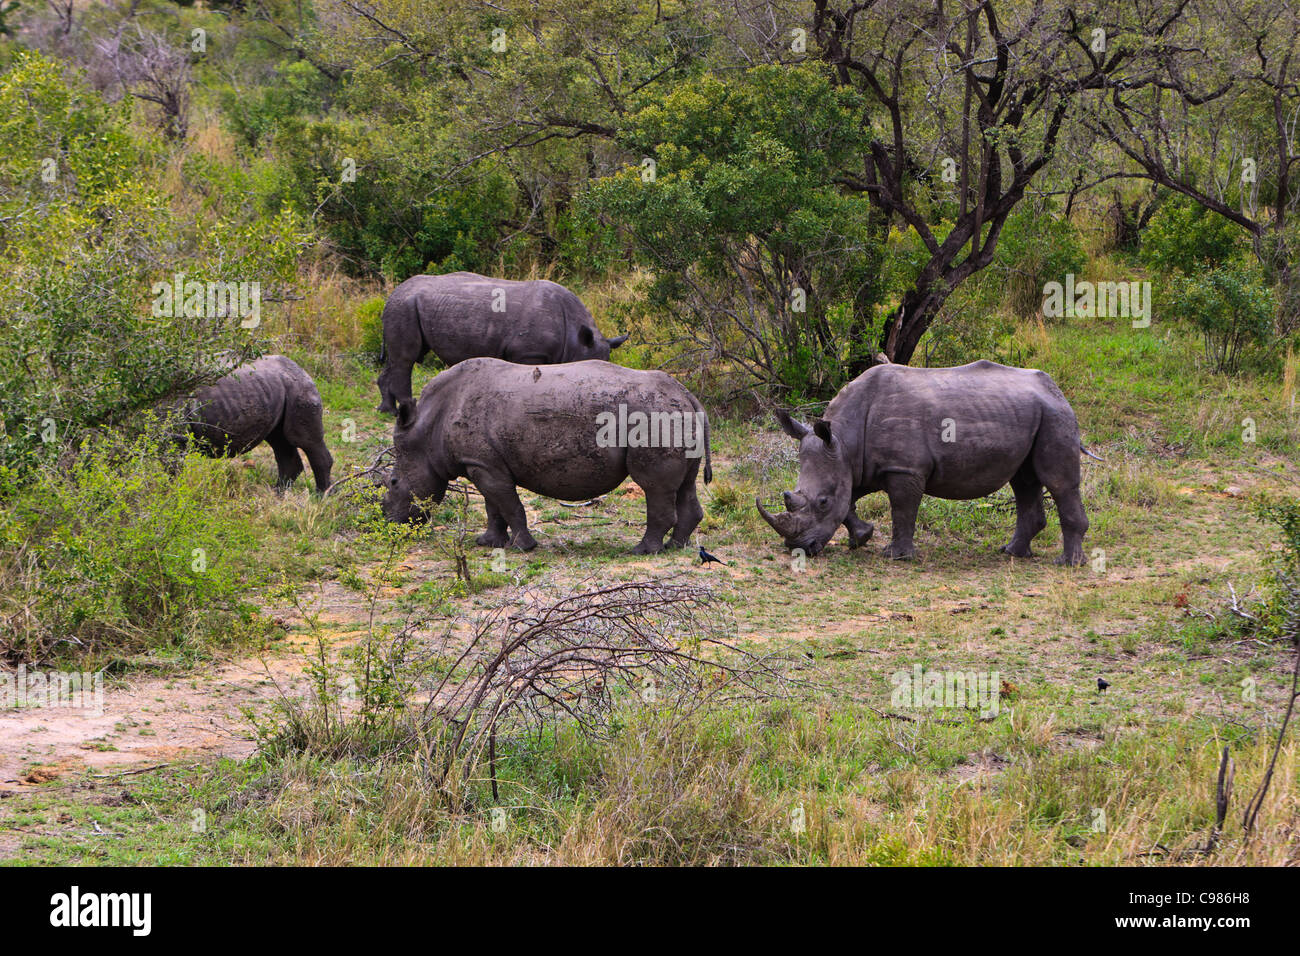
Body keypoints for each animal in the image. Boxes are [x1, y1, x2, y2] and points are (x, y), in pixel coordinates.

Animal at [183, 355, 333, 494]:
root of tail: (303, 371)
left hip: (299, 388)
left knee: (305, 441)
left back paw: (320, 497)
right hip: (277, 389)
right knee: (279, 440)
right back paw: (278, 493)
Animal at [375, 272, 628, 414]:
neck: (576, 335)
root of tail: (391, 295)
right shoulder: (529, 353)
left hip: (405, 306)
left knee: (397, 359)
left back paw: (387, 411)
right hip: (404, 306)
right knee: (406, 359)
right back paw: (406, 410)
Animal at [383, 358, 711, 554]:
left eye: (393, 483)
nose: (390, 522)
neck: (426, 429)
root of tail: (687, 394)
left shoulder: (484, 464)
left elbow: (508, 504)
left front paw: (523, 547)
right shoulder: (483, 462)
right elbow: (493, 506)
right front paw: (488, 543)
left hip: (653, 416)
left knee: (653, 487)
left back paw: (643, 550)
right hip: (674, 415)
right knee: (685, 484)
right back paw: (676, 546)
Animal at [755, 360, 1091, 564]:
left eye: (822, 502)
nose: (798, 548)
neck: (843, 439)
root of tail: (1055, 390)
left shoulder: (904, 468)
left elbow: (902, 509)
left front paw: (895, 556)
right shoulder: (855, 464)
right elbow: (848, 500)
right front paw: (862, 537)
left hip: (1055, 415)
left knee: (1058, 483)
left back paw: (1067, 563)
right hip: (1030, 414)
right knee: (1023, 480)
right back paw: (1012, 553)